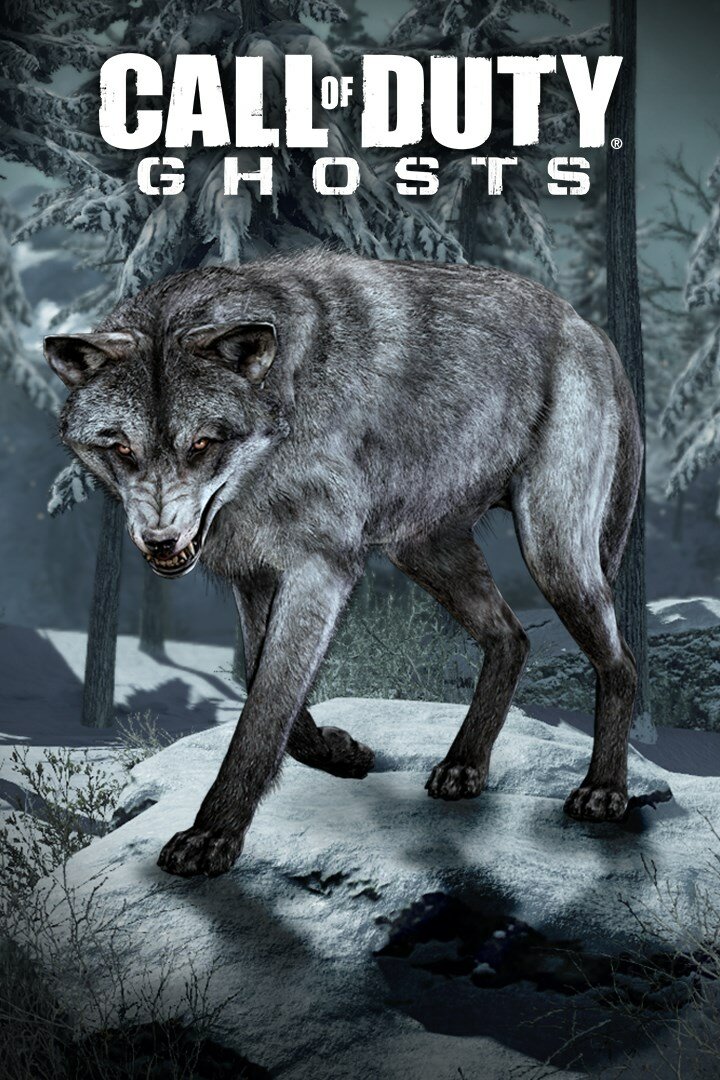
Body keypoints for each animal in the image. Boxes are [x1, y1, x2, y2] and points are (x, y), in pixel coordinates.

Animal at [45, 251, 642, 878]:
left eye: (204, 444)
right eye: (121, 448)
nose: (159, 542)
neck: (286, 408)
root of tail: (588, 327)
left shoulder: (320, 569)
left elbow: (265, 709)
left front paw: (213, 835)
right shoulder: (254, 574)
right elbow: (266, 686)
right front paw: (339, 753)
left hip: (552, 554)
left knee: (620, 663)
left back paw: (604, 790)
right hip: (423, 552)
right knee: (511, 638)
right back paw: (465, 766)